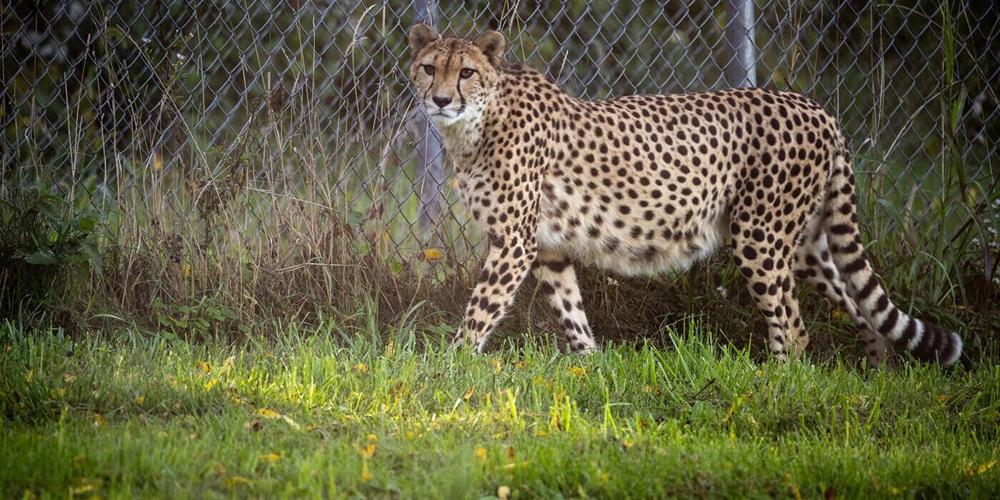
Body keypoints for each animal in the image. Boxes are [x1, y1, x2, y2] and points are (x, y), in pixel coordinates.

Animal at [406, 23, 963, 366]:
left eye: (467, 72)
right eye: (430, 68)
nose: (441, 99)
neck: (475, 123)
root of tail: (813, 105)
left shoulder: (513, 243)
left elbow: (480, 311)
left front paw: (449, 368)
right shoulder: (547, 246)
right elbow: (571, 311)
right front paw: (592, 367)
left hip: (758, 235)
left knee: (793, 325)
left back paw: (776, 384)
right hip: (803, 243)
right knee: (861, 306)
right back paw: (874, 377)